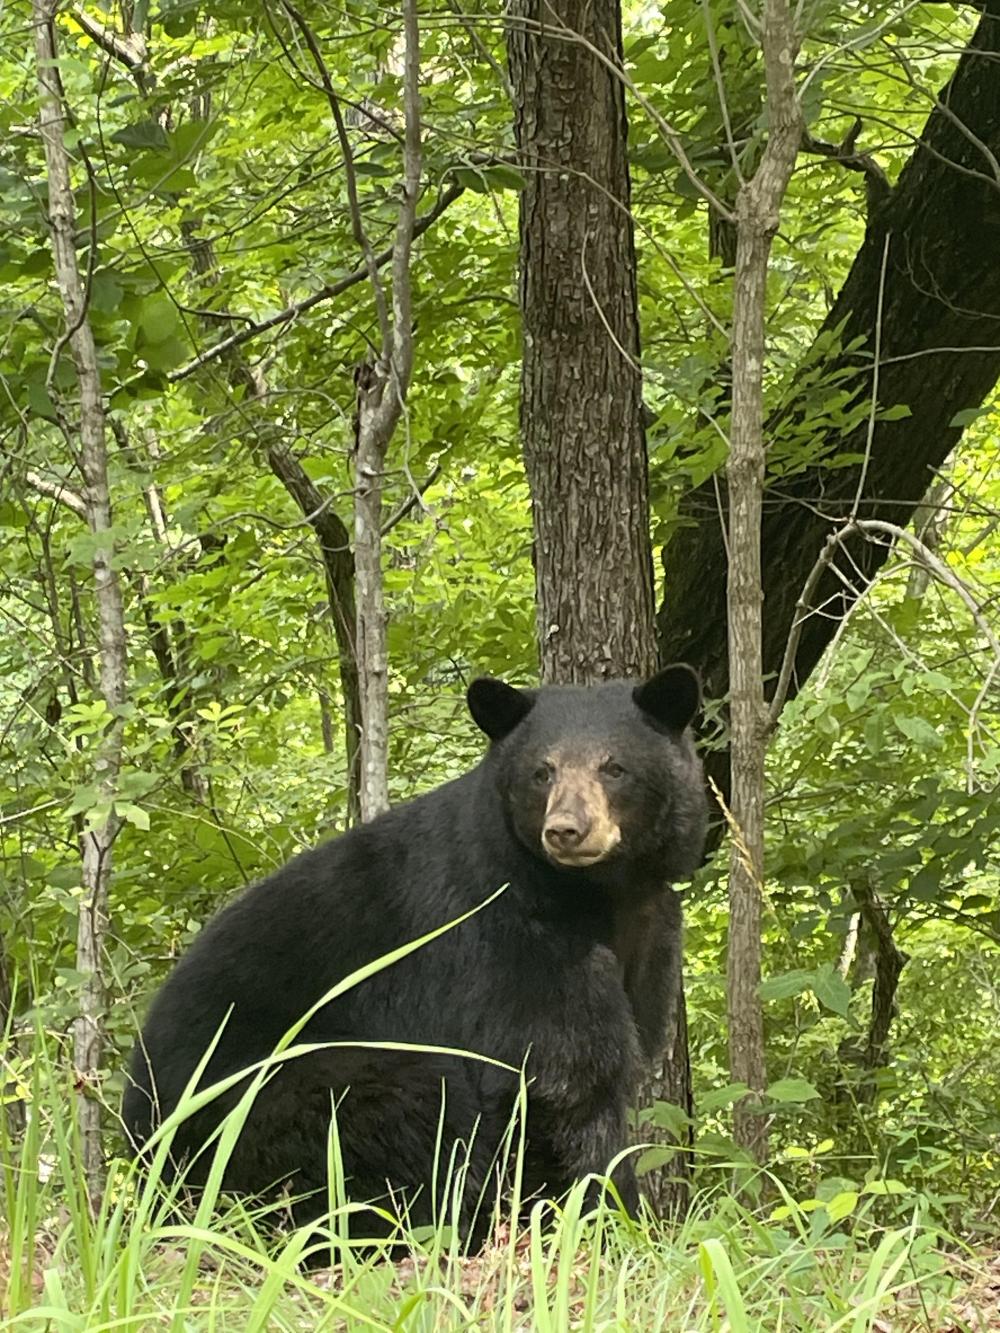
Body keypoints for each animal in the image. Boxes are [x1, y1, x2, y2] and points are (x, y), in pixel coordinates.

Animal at [122, 664, 707, 1247]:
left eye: (615, 768)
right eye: (542, 773)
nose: (566, 829)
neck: (596, 895)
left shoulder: (650, 939)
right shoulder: (505, 933)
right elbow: (556, 1073)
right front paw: (612, 1219)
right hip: (259, 1107)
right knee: (405, 1106)